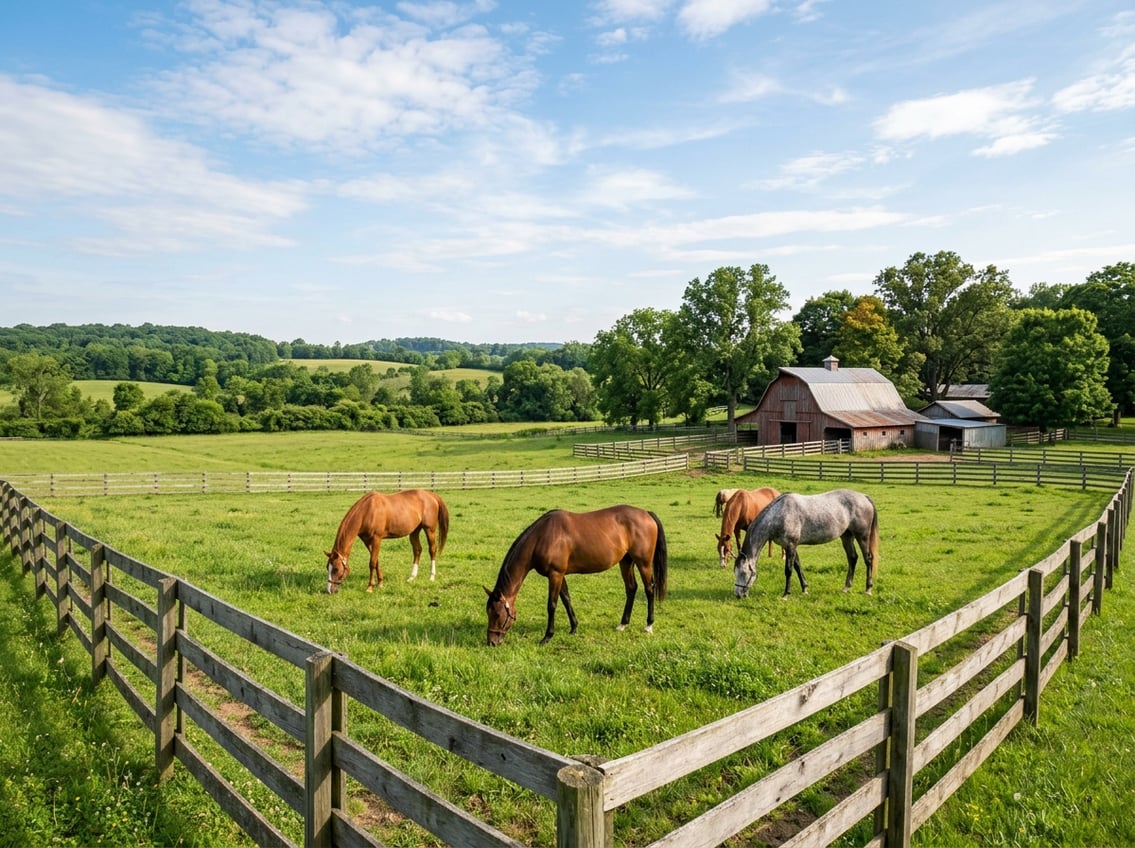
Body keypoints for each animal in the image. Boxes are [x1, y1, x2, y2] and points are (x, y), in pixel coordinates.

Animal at [485, 504, 668, 646]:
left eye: (497, 614)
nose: (492, 642)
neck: (542, 537)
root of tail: (646, 513)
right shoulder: (560, 574)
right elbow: (566, 599)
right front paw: (573, 627)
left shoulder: (555, 574)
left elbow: (552, 605)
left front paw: (547, 637)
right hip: (626, 561)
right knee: (631, 588)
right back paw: (622, 624)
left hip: (643, 563)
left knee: (649, 589)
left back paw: (648, 625)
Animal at [733, 489, 878, 599]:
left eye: (744, 573)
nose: (738, 595)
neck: (779, 514)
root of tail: (864, 497)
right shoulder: (790, 546)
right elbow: (798, 566)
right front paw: (805, 589)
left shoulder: (791, 545)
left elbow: (789, 570)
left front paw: (786, 594)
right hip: (846, 536)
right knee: (852, 558)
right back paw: (846, 587)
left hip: (862, 536)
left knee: (868, 559)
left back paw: (868, 589)